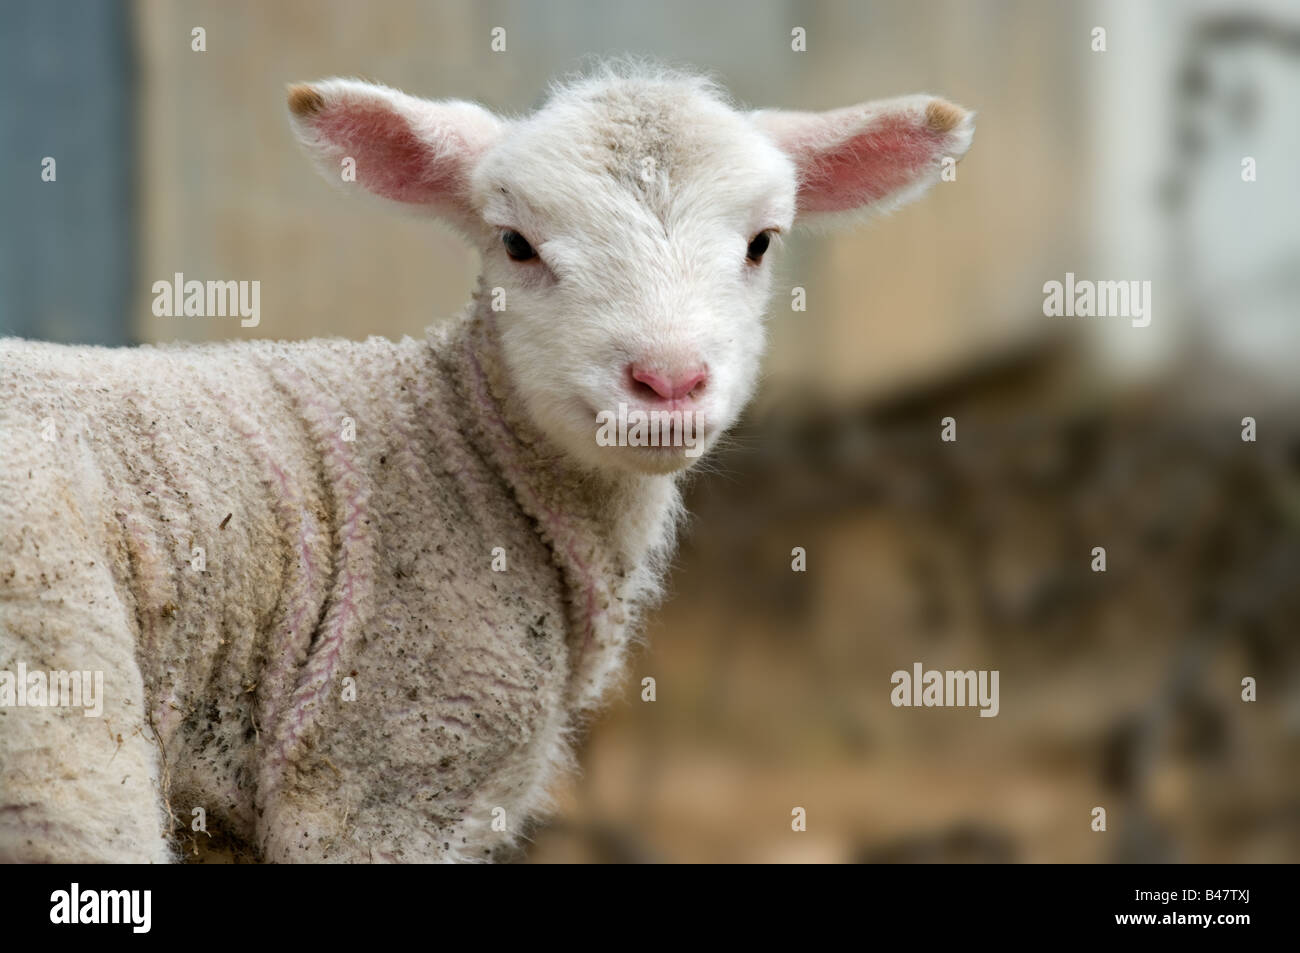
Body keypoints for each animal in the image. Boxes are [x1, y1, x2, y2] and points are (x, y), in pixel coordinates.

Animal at [0, 64, 973, 863]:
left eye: (762, 242)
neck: (452, 449)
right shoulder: (384, 762)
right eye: (517, 244)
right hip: (56, 707)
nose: (668, 381)